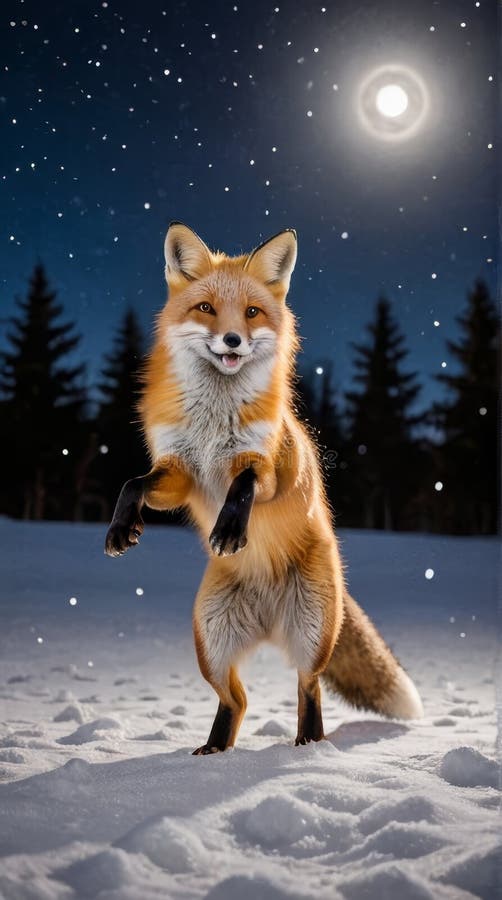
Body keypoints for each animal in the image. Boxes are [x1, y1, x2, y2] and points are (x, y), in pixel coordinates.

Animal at [105, 222, 424, 755]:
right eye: (206, 308)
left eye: (252, 312)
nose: (233, 339)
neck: (214, 422)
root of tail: (273, 622)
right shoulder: (179, 472)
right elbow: (134, 483)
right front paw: (121, 529)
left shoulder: (275, 466)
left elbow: (245, 481)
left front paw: (231, 530)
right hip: (210, 642)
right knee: (237, 700)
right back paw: (213, 753)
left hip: (313, 633)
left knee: (307, 688)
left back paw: (309, 747)